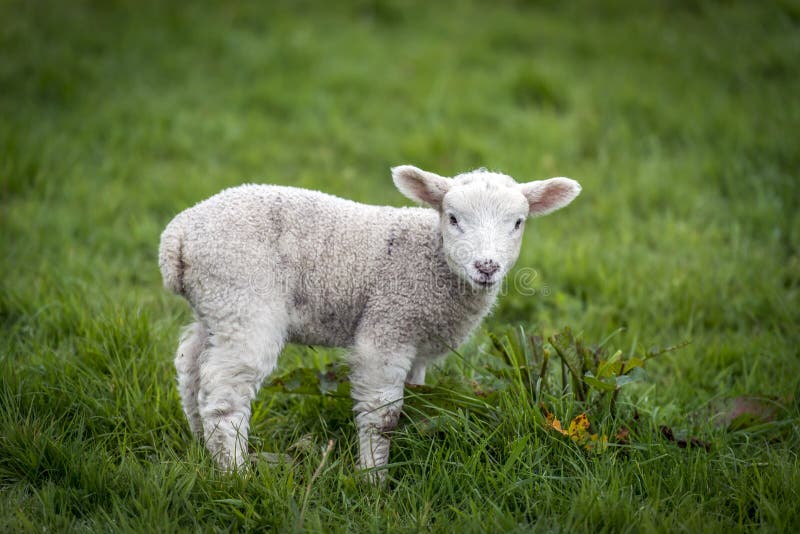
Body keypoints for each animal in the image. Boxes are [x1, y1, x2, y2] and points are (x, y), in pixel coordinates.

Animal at [158, 165, 581, 480]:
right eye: (453, 218)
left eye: (518, 223)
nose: (487, 266)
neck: (431, 260)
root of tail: (177, 237)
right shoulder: (387, 326)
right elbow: (383, 415)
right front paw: (373, 478)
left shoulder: (417, 342)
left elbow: (415, 399)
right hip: (244, 299)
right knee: (224, 395)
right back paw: (236, 472)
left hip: (216, 306)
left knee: (191, 368)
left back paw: (201, 446)